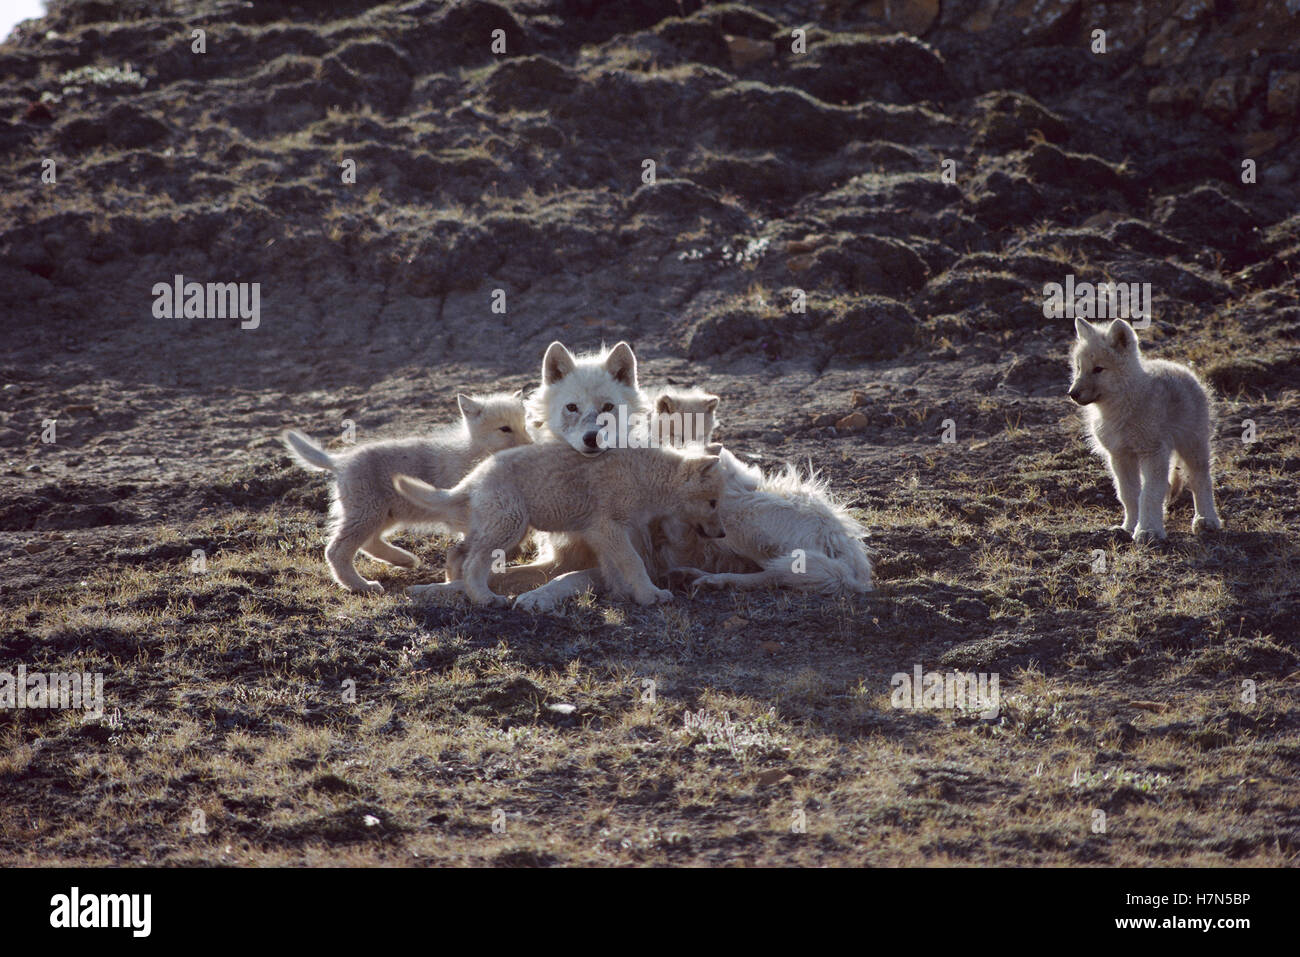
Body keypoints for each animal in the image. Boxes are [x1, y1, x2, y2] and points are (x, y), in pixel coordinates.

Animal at [281, 392, 530, 593]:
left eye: (525, 426)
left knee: (368, 543)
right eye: (505, 429)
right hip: (368, 513)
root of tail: (340, 461)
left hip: (385, 514)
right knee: (337, 550)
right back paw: (362, 586)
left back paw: (405, 560)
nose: (530, 445)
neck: (473, 452)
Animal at [393, 442, 726, 606]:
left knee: (457, 554)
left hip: (494, 526)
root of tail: (472, 480)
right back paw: (486, 599)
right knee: (473, 562)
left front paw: (625, 595)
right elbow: (633, 562)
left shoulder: (604, 533)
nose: (722, 533)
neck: (648, 475)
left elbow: (615, 567)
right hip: (510, 525)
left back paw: (455, 587)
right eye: (712, 502)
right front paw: (650, 595)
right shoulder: (607, 527)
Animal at [1068, 317, 1222, 544]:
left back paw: (1206, 520)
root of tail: (1178, 366)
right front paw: (1129, 527)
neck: (1122, 409)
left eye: (1098, 369)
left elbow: (1148, 494)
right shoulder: (1120, 455)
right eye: (1079, 368)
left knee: (1200, 480)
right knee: (1169, 484)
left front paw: (1148, 531)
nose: (1072, 393)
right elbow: (1129, 494)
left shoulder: (1153, 452)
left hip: (1193, 446)